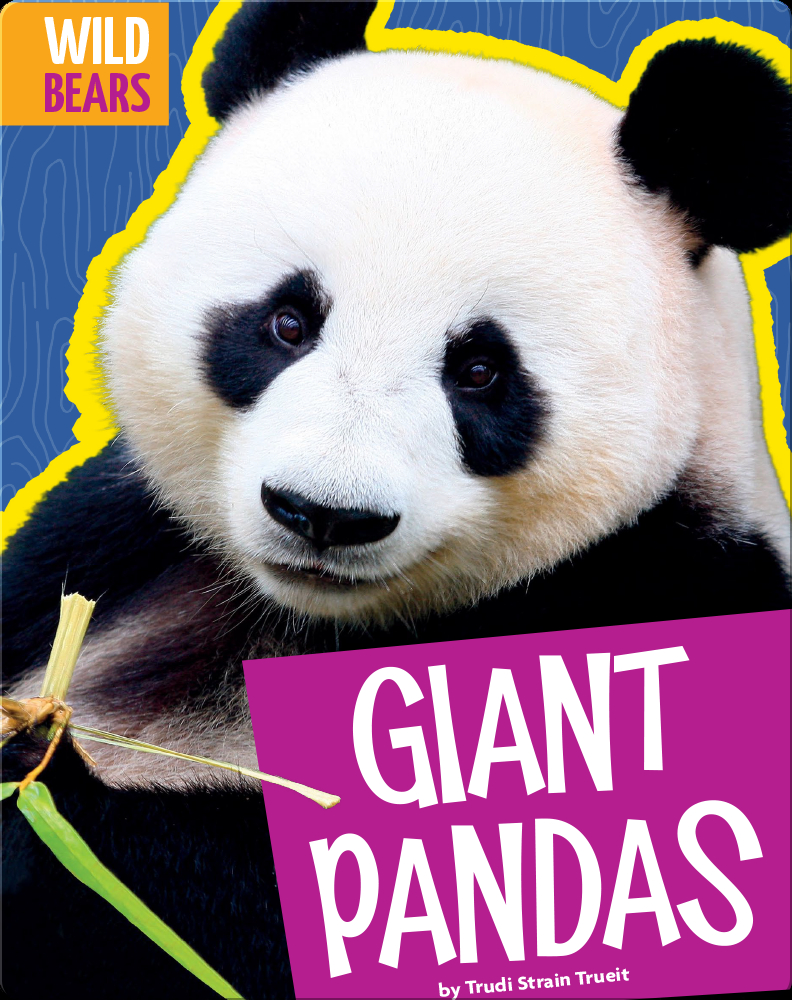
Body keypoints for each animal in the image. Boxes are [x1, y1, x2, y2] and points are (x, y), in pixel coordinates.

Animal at [3, 3, 790, 999]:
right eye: (288, 321)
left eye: (481, 370)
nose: (323, 514)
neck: (307, 619)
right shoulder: (109, 539)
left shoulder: (669, 599)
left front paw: (41, 798)